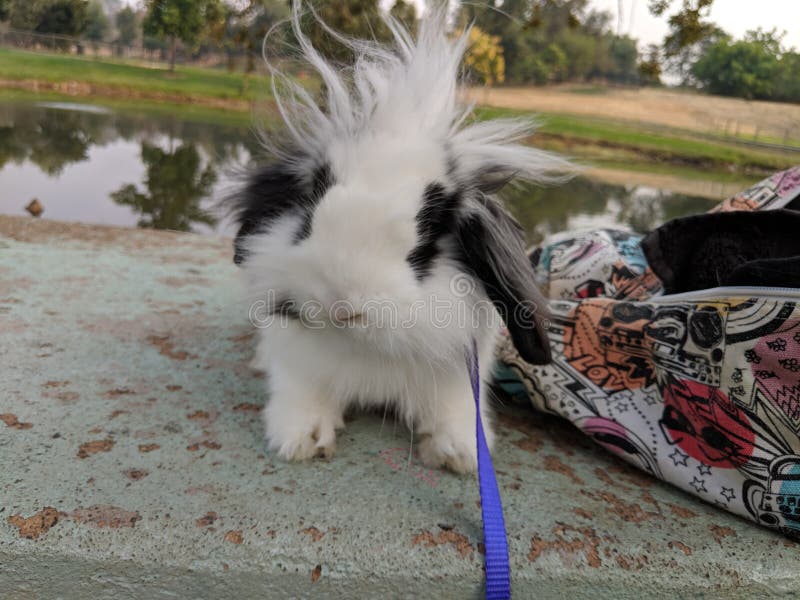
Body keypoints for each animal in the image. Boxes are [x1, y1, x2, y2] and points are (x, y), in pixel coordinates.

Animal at [230, 3, 571, 473]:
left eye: (423, 247)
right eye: (309, 216)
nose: (342, 307)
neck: (366, 348)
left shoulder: (458, 376)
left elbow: (456, 412)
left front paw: (460, 454)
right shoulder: (300, 366)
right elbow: (303, 396)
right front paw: (301, 441)